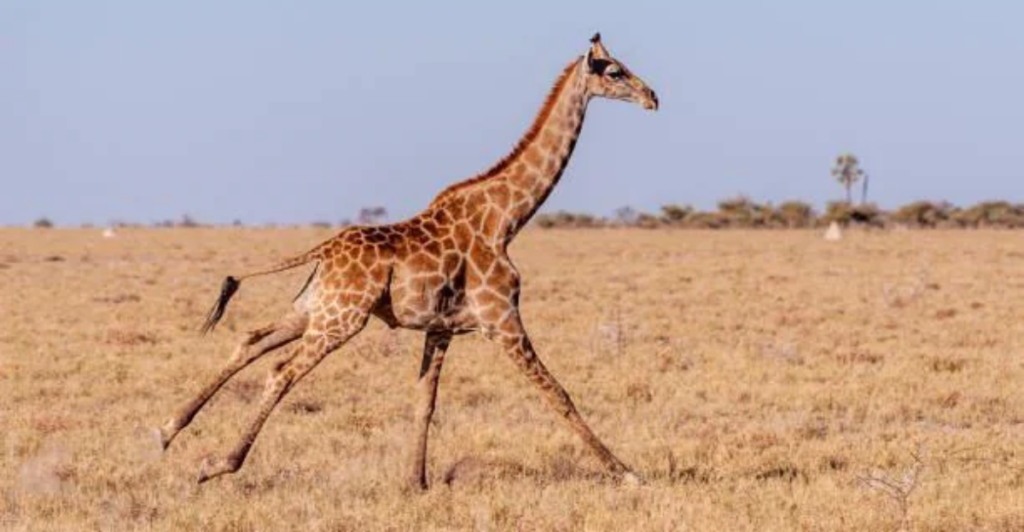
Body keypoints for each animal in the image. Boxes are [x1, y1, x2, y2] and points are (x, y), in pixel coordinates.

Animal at [157, 33, 659, 488]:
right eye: (615, 71)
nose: (652, 97)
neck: (506, 219)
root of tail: (323, 250)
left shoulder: (442, 329)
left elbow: (425, 404)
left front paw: (417, 483)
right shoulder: (502, 320)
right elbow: (559, 393)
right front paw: (628, 473)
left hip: (314, 309)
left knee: (250, 341)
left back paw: (166, 431)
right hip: (341, 319)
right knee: (281, 372)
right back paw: (215, 465)